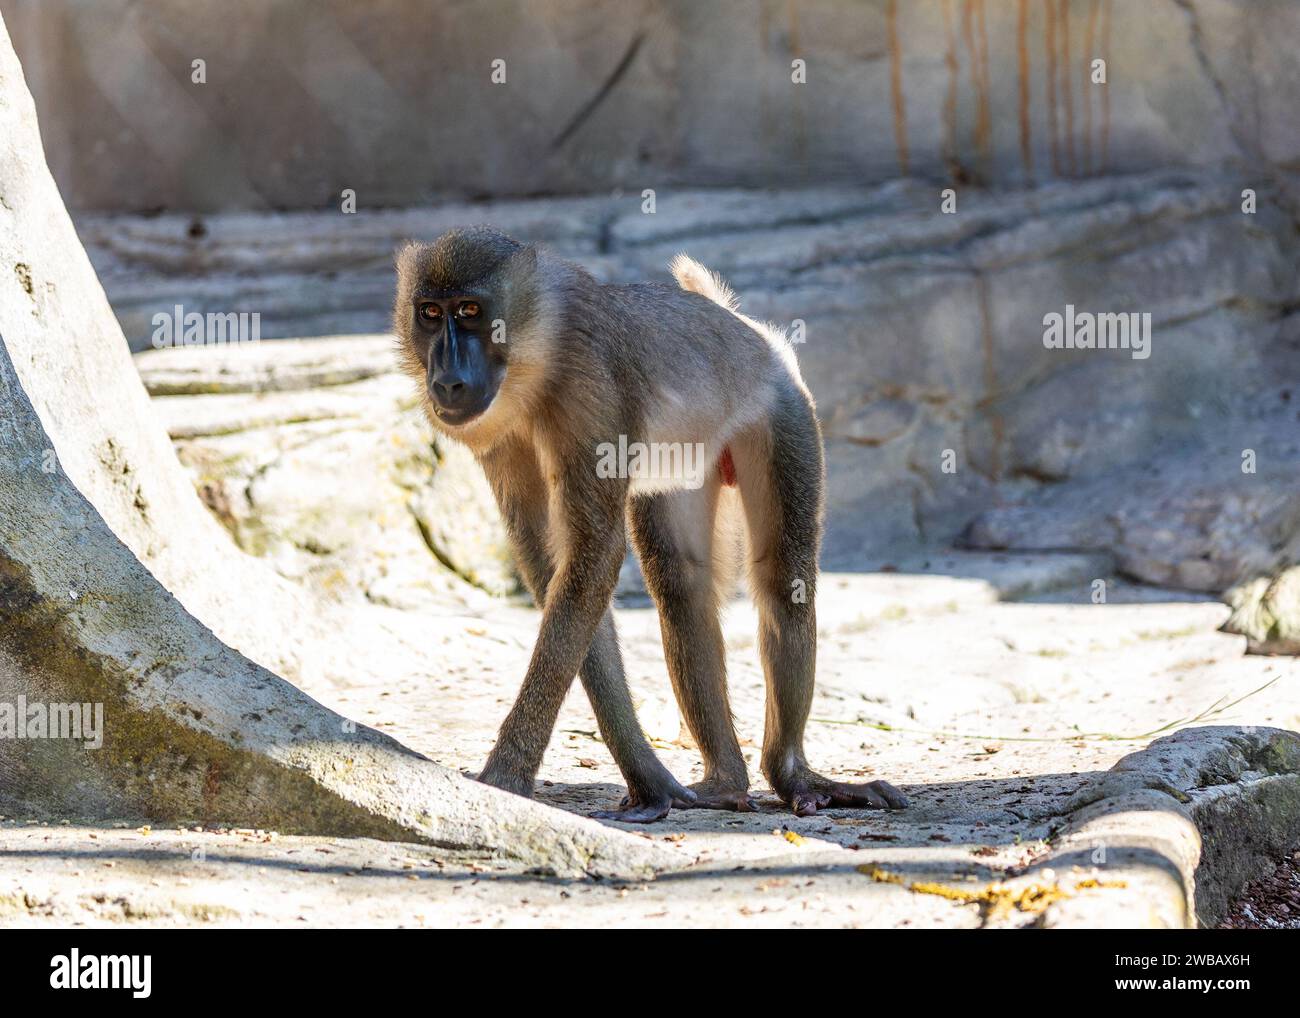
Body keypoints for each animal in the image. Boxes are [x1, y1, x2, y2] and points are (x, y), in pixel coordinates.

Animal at [393, 226, 908, 822]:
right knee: (682, 586)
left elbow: (592, 555)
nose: (448, 378)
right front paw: (650, 779)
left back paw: (793, 775)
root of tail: (751, 329)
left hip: (783, 412)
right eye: (431, 314)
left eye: (470, 311)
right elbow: (556, 566)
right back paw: (726, 780)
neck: (537, 357)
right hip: (688, 463)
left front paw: (505, 779)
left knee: (784, 583)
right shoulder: (504, 438)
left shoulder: (590, 394)